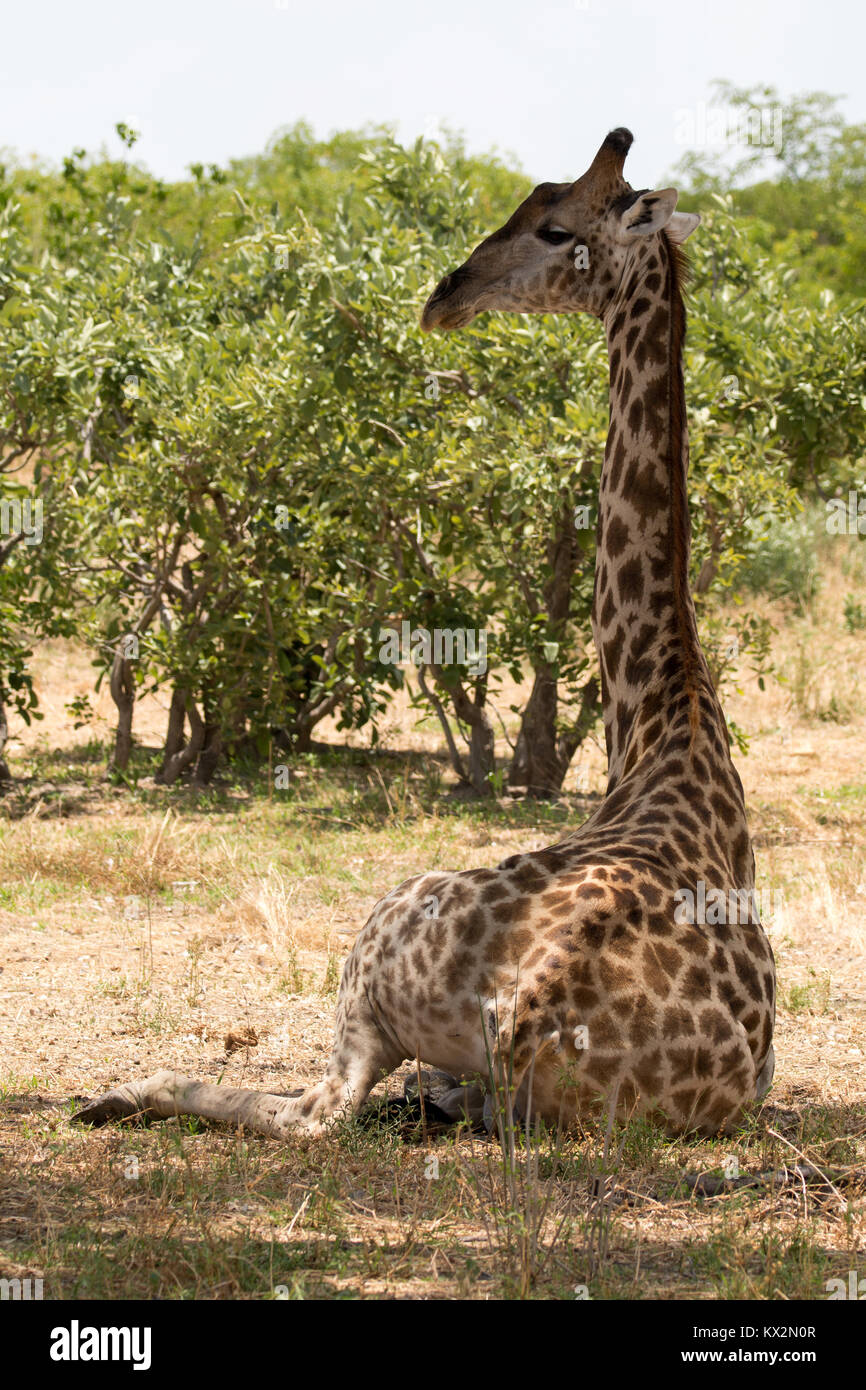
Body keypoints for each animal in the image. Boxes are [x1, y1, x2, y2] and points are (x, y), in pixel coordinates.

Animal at [72, 129, 775, 1141]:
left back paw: (118, 1091)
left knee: (319, 1111)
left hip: (376, 946)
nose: (445, 293)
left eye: (555, 226)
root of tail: (531, 1011)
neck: (660, 720)